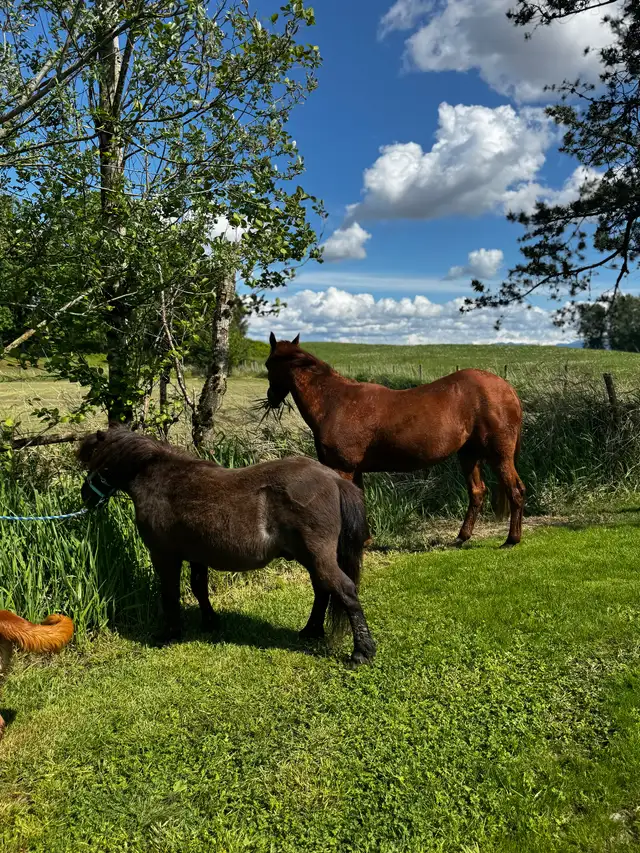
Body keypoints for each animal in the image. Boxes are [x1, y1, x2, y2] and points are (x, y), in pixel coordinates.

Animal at [77, 426, 376, 666]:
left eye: (97, 462)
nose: (85, 496)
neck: (160, 478)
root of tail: (334, 479)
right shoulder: (196, 555)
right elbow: (199, 588)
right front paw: (210, 623)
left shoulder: (164, 555)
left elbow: (170, 592)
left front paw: (169, 634)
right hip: (310, 558)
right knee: (322, 591)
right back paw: (311, 631)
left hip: (317, 556)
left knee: (345, 590)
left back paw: (362, 652)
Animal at [265, 334, 525, 548]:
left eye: (268, 364)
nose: (272, 398)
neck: (335, 402)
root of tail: (507, 389)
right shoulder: (355, 470)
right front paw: (365, 541)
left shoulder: (343, 468)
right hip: (469, 455)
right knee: (477, 492)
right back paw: (462, 537)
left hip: (499, 455)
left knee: (515, 490)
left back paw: (511, 540)